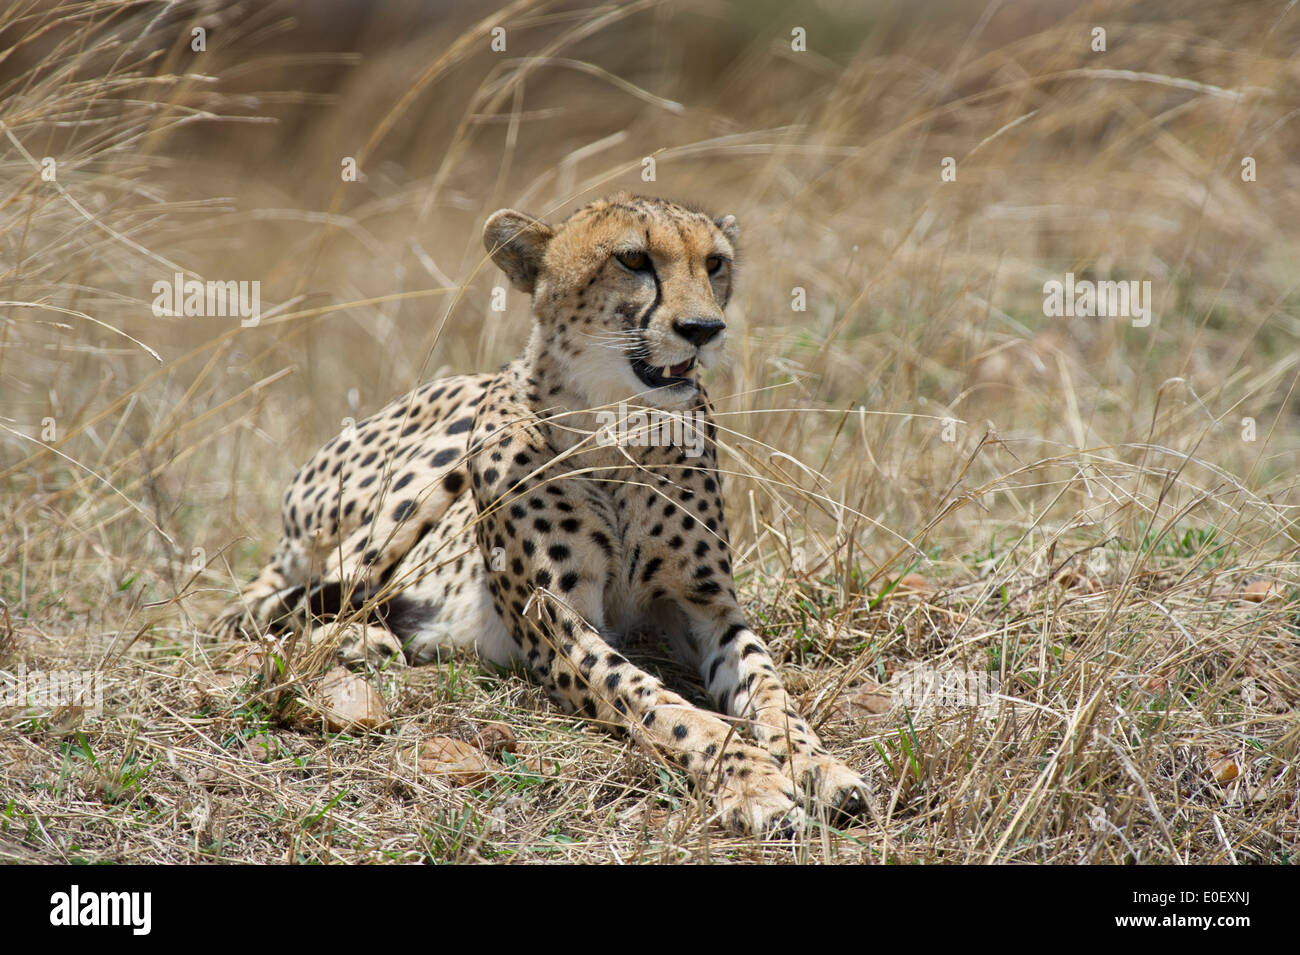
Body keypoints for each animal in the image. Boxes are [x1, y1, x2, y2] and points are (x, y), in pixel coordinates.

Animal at [216, 193, 871, 834]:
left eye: (715, 263)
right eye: (633, 259)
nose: (704, 329)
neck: (617, 427)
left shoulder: (707, 605)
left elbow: (770, 688)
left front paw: (817, 765)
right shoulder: (556, 622)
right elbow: (658, 703)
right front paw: (752, 781)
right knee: (268, 606)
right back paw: (361, 640)